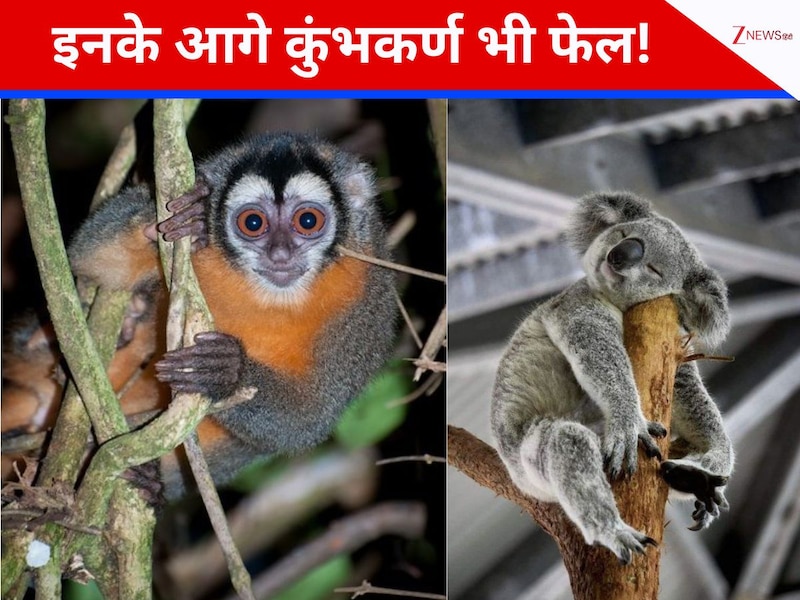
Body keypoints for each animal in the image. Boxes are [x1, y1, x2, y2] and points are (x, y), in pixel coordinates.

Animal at [2, 132, 398, 499]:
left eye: (308, 220)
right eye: (253, 223)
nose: (280, 254)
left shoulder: (371, 294)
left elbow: (308, 419)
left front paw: (224, 371)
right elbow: (84, 257)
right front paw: (186, 218)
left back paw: (150, 477)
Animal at [490, 192, 733, 564]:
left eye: (654, 269)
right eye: (623, 235)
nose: (619, 256)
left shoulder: (674, 346)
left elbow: (688, 393)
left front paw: (716, 458)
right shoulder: (577, 304)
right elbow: (597, 350)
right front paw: (630, 425)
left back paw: (697, 482)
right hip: (527, 456)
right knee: (569, 445)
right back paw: (617, 533)